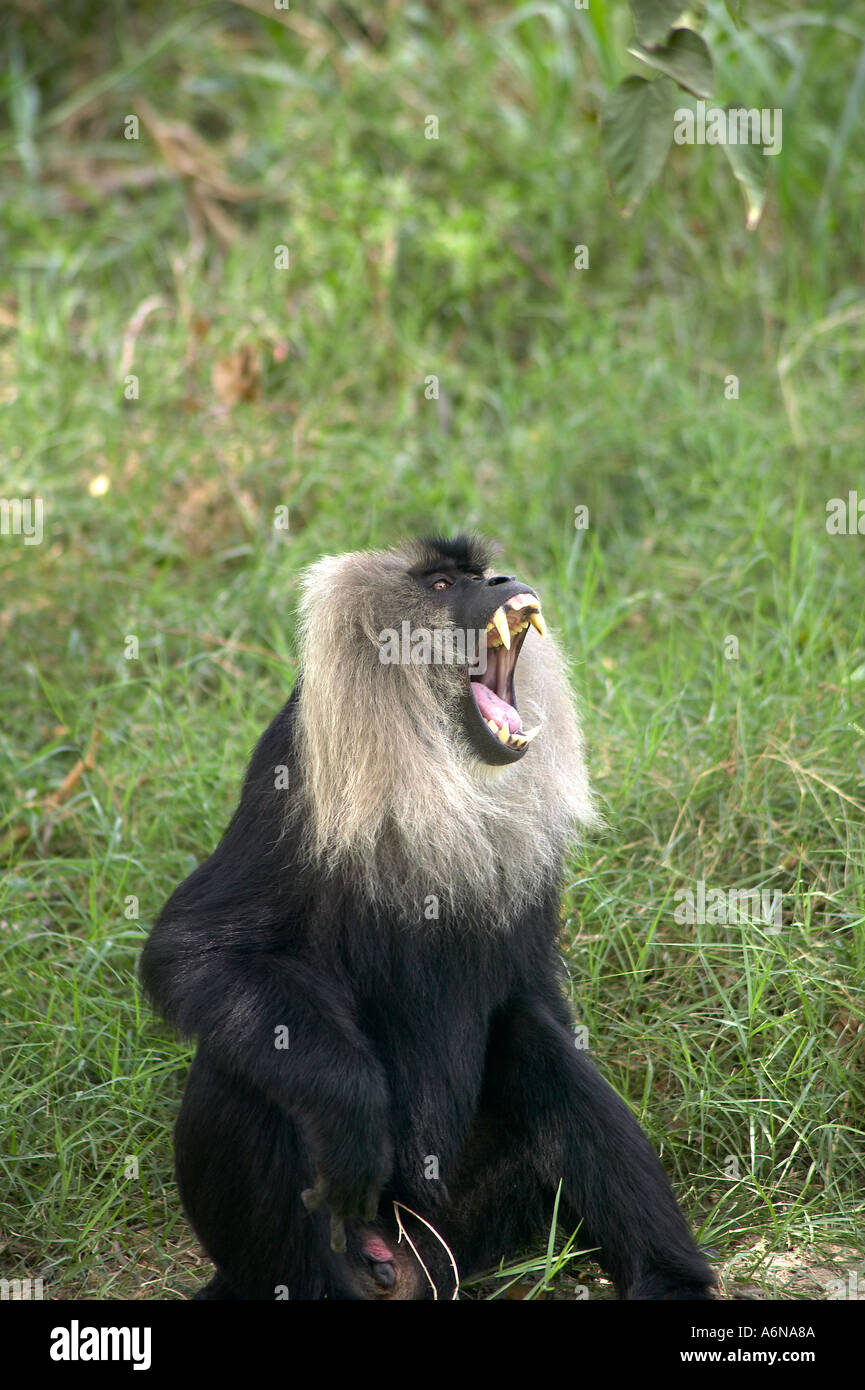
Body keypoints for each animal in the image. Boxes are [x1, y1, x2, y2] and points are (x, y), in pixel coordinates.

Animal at [140, 534, 716, 1301]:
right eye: (443, 585)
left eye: (478, 573)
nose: (501, 582)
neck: (440, 766)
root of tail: (409, 1257)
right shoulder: (288, 773)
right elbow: (196, 952)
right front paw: (351, 1113)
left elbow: (533, 996)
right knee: (242, 1070)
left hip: (468, 1226)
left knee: (535, 1043)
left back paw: (670, 1280)